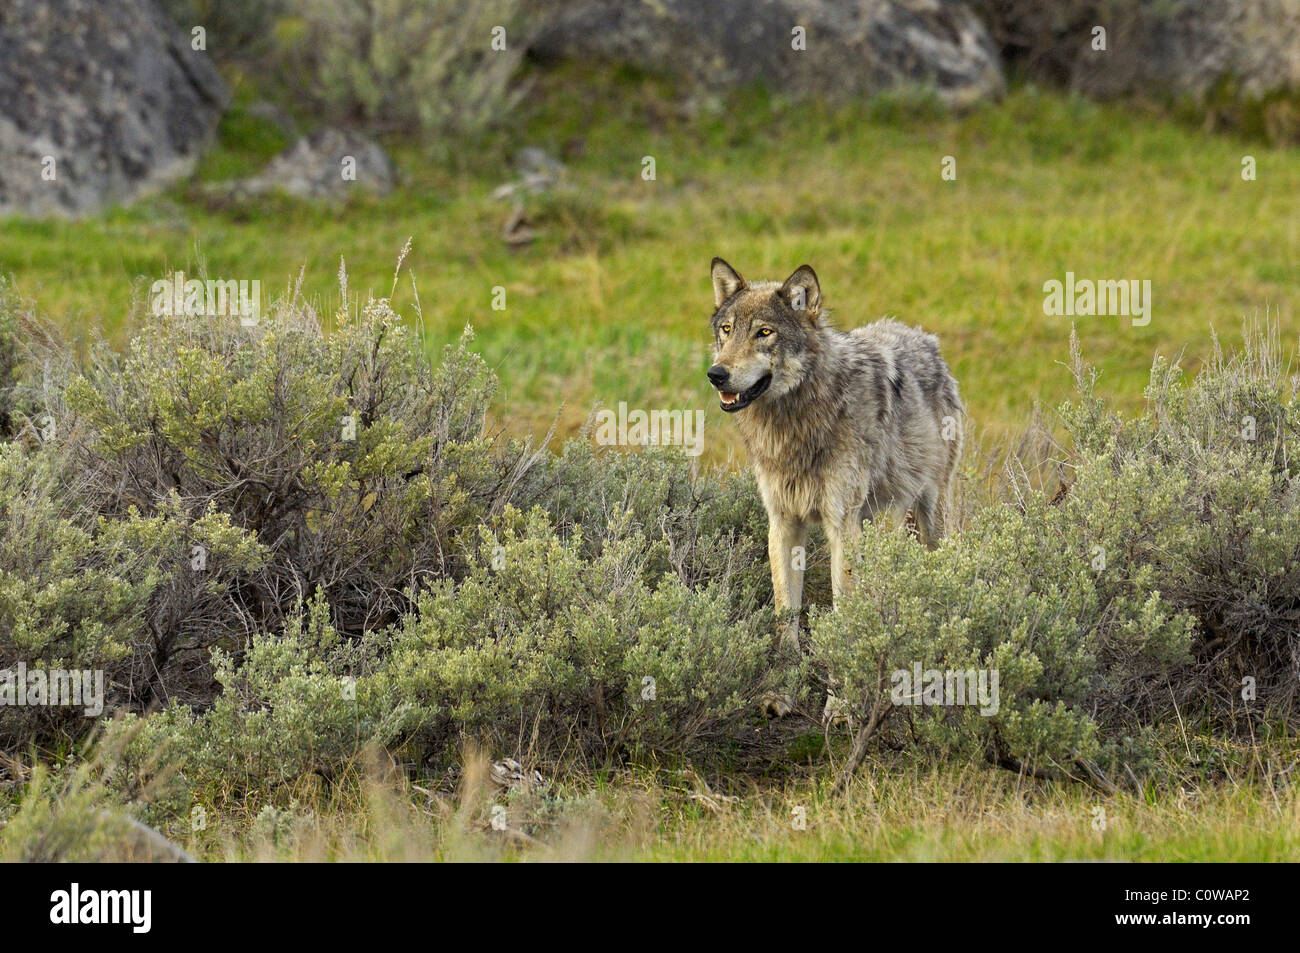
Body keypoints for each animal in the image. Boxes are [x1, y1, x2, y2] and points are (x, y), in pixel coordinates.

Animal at [706, 258, 963, 650]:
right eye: (727, 329)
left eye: (764, 333)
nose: (716, 373)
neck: (797, 422)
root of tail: (925, 339)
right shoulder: (783, 521)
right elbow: (785, 607)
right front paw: (789, 659)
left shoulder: (840, 521)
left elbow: (843, 603)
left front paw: (841, 655)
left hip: (927, 513)